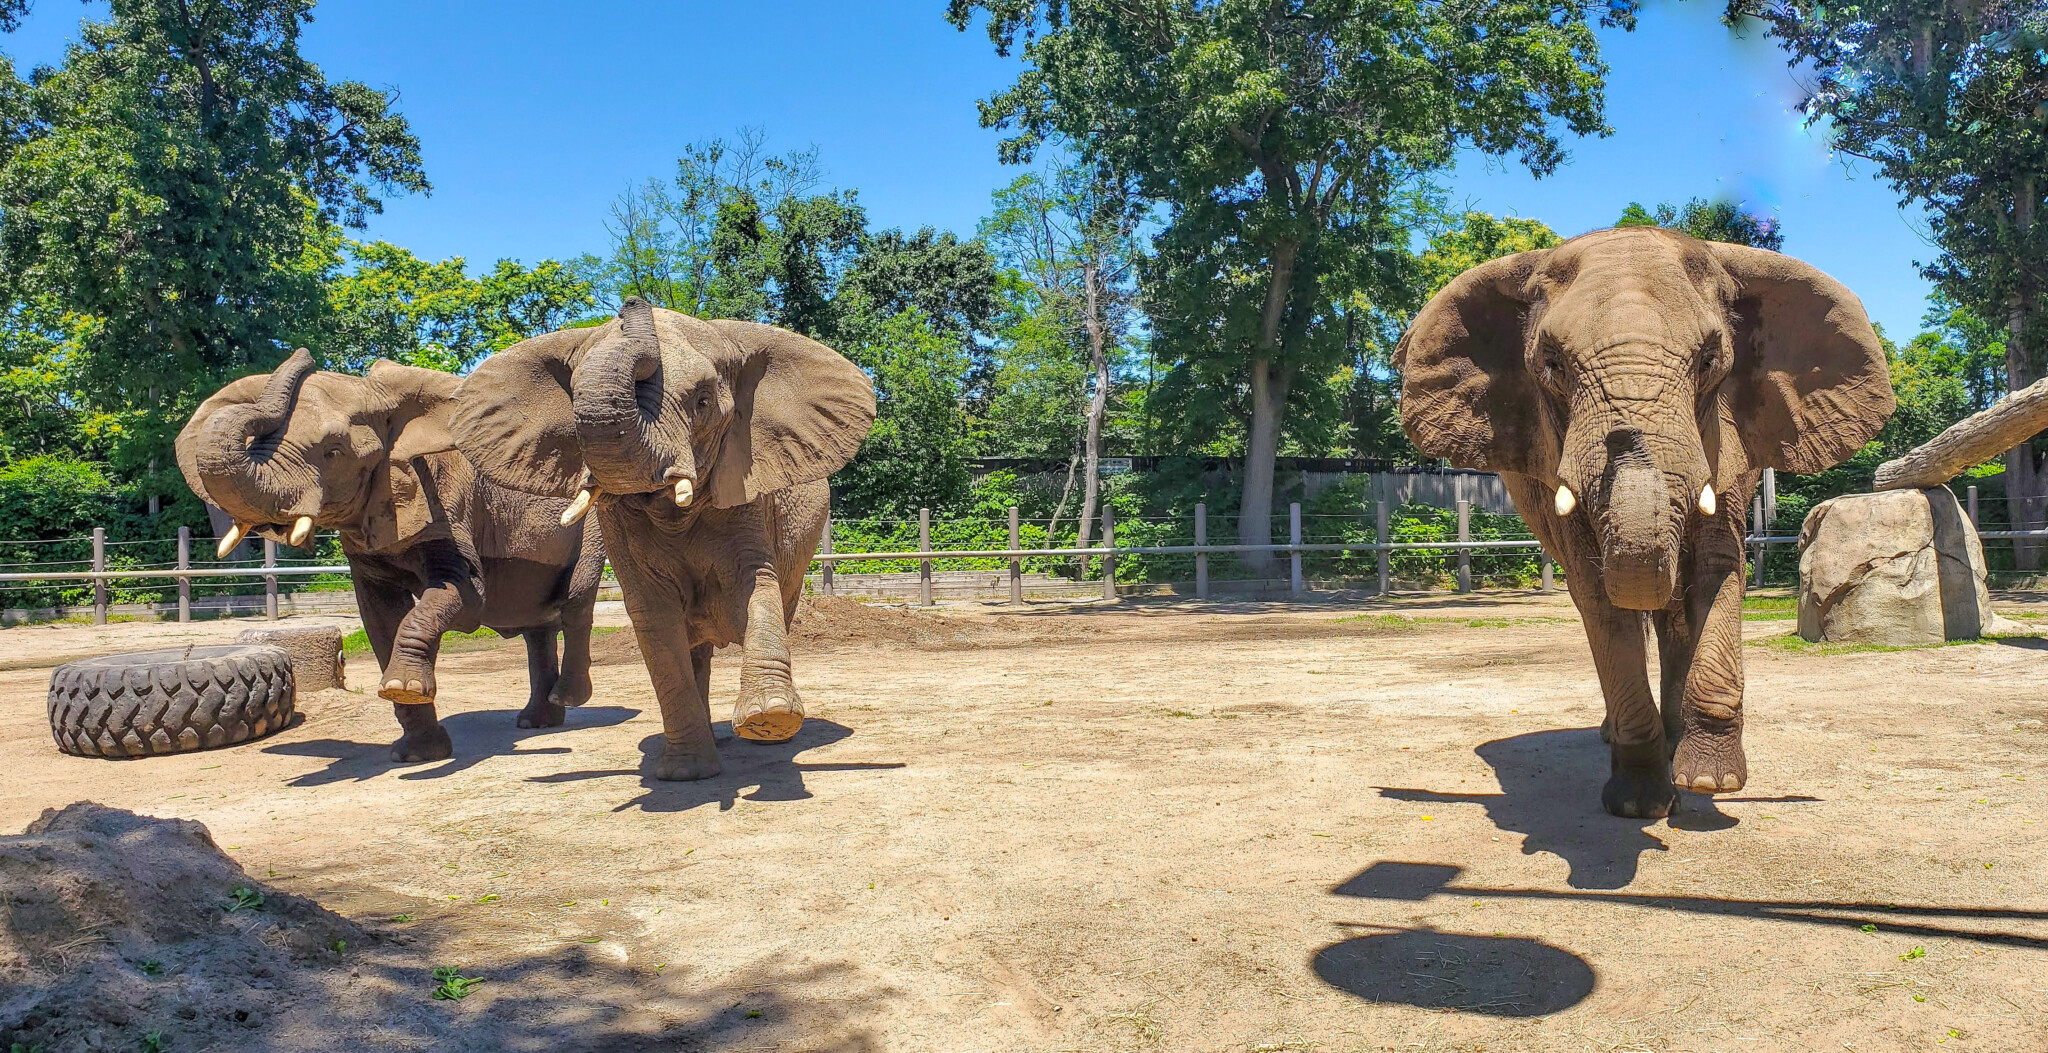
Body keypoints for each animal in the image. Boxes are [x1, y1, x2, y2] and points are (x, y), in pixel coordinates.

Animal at [175, 350, 607, 763]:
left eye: (333, 452)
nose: (304, 355)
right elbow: (379, 614)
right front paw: (417, 753)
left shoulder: (447, 501)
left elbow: (466, 597)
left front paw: (404, 688)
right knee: (538, 626)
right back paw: (536, 721)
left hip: (589, 522)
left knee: (574, 600)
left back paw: (566, 699)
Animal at [448, 298, 876, 781]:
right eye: (573, 405)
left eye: (703, 402)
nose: (633, 305)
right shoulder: (618, 527)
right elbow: (654, 617)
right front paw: (687, 774)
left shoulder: (746, 488)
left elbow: (755, 585)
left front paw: (770, 719)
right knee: (695, 649)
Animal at [1397, 227, 1894, 818]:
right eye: (1552, 365)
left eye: (1709, 360)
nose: (1624, 436)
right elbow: (1599, 596)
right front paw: (1640, 805)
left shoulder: (1726, 447)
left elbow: (1716, 570)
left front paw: (1711, 782)